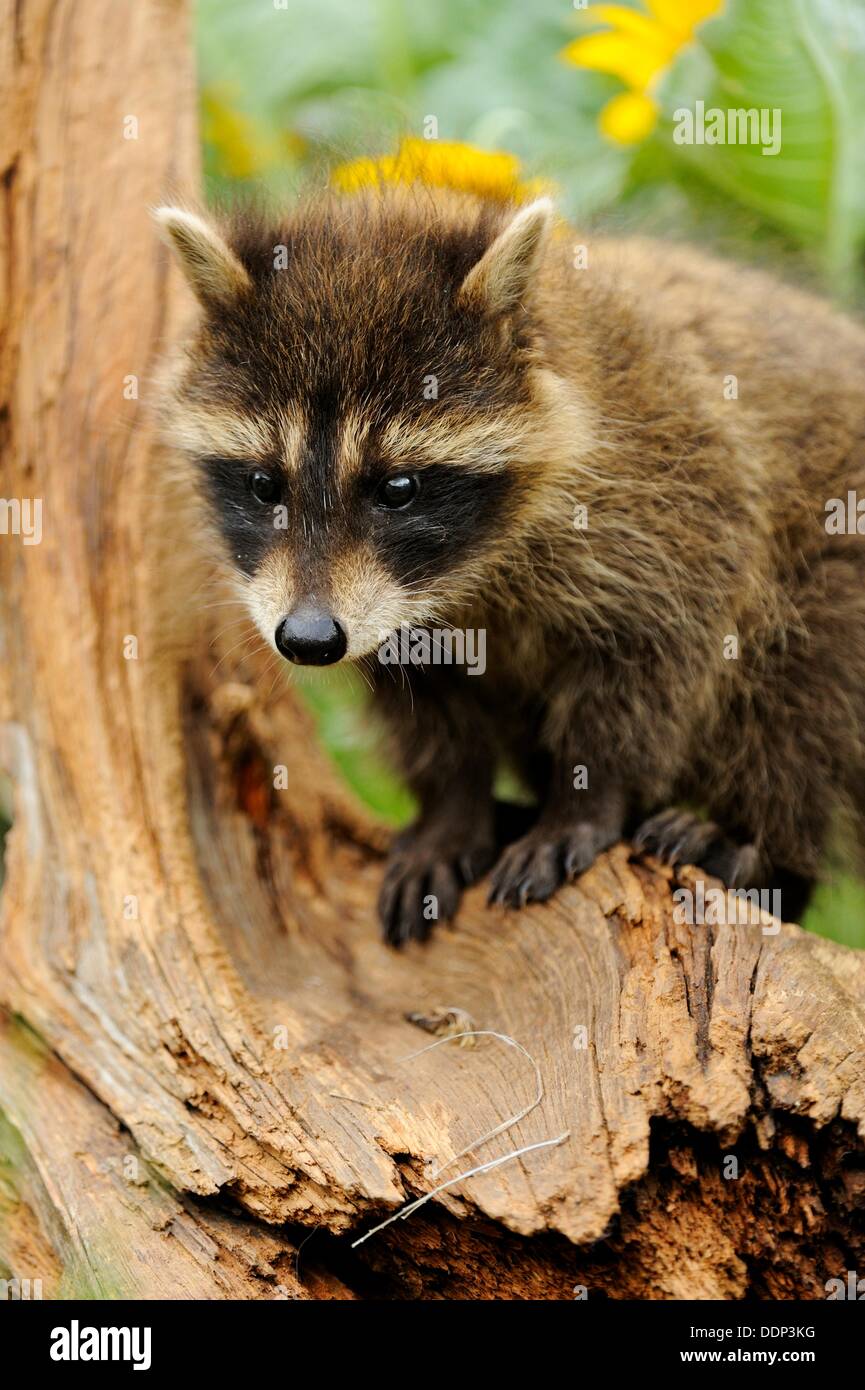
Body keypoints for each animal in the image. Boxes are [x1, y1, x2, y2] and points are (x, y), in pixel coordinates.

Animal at [154, 185, 865, 946]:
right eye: (264, 485)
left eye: (397, 488)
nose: (308, 640)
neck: (463, 577)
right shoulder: (383, 615)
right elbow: (429, 715)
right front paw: (451, 811)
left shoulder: (676, 498)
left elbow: (653, 664)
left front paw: (586, 799)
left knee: (801, 696)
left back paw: (755, 842)